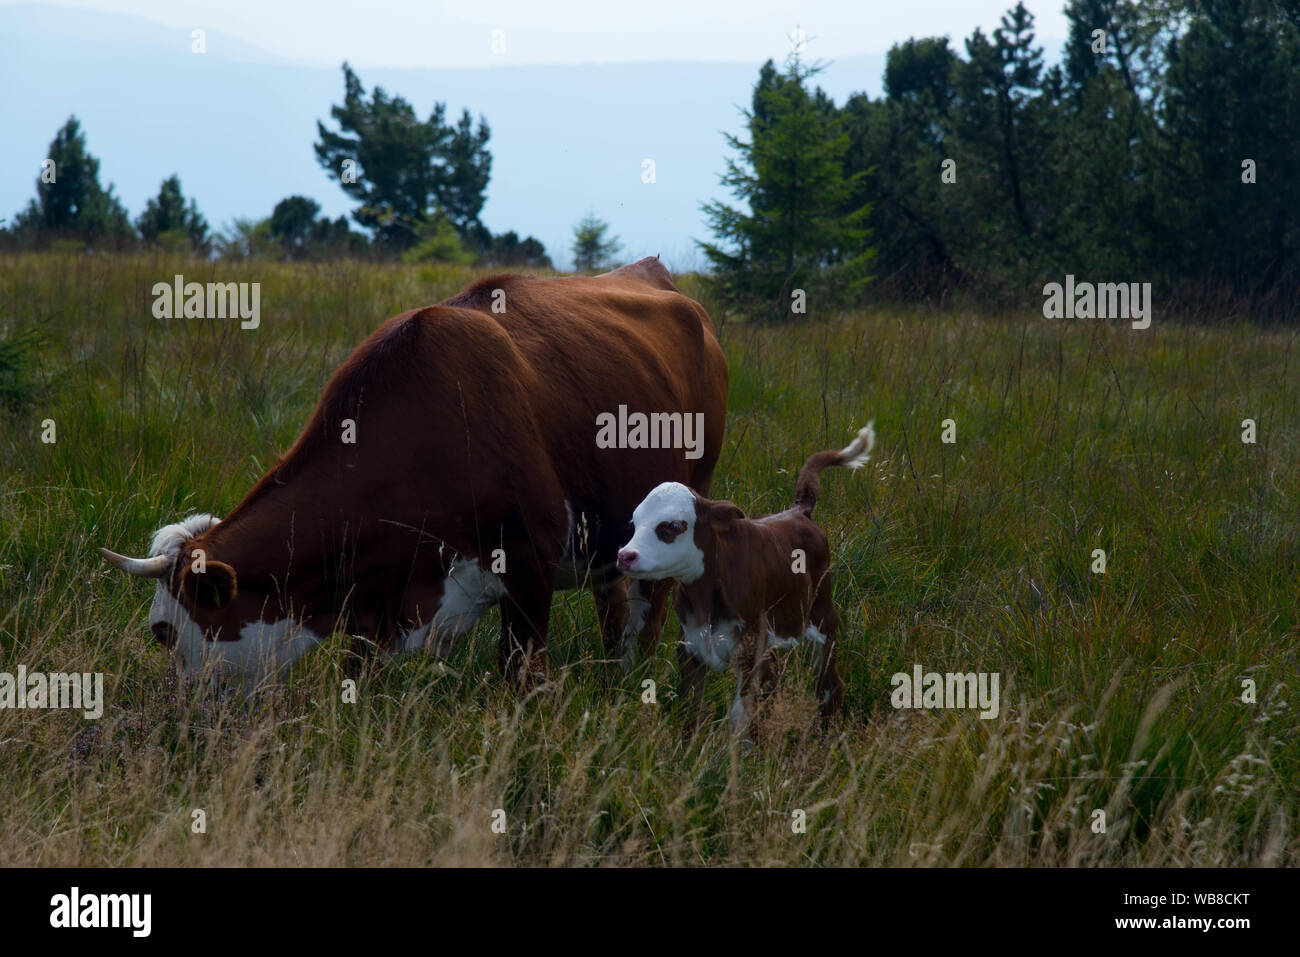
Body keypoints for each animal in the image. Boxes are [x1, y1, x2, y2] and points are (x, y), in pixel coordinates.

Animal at [101, 257, 728, 691]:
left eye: (162, 631)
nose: (180, 710)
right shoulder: (375, 603)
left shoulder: (530, 561)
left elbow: (520, 676)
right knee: (614, 605)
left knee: (649, 613)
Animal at [615, 423, 875, 734]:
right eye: (634, 523)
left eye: (674, 526)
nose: (625, 555)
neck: (706, 595)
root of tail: (798, 510)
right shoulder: (690, 649)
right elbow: (692, 710)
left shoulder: (750, 651)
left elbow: (742, 714)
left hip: (823, 617)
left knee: (830, 685)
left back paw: (826, 734)